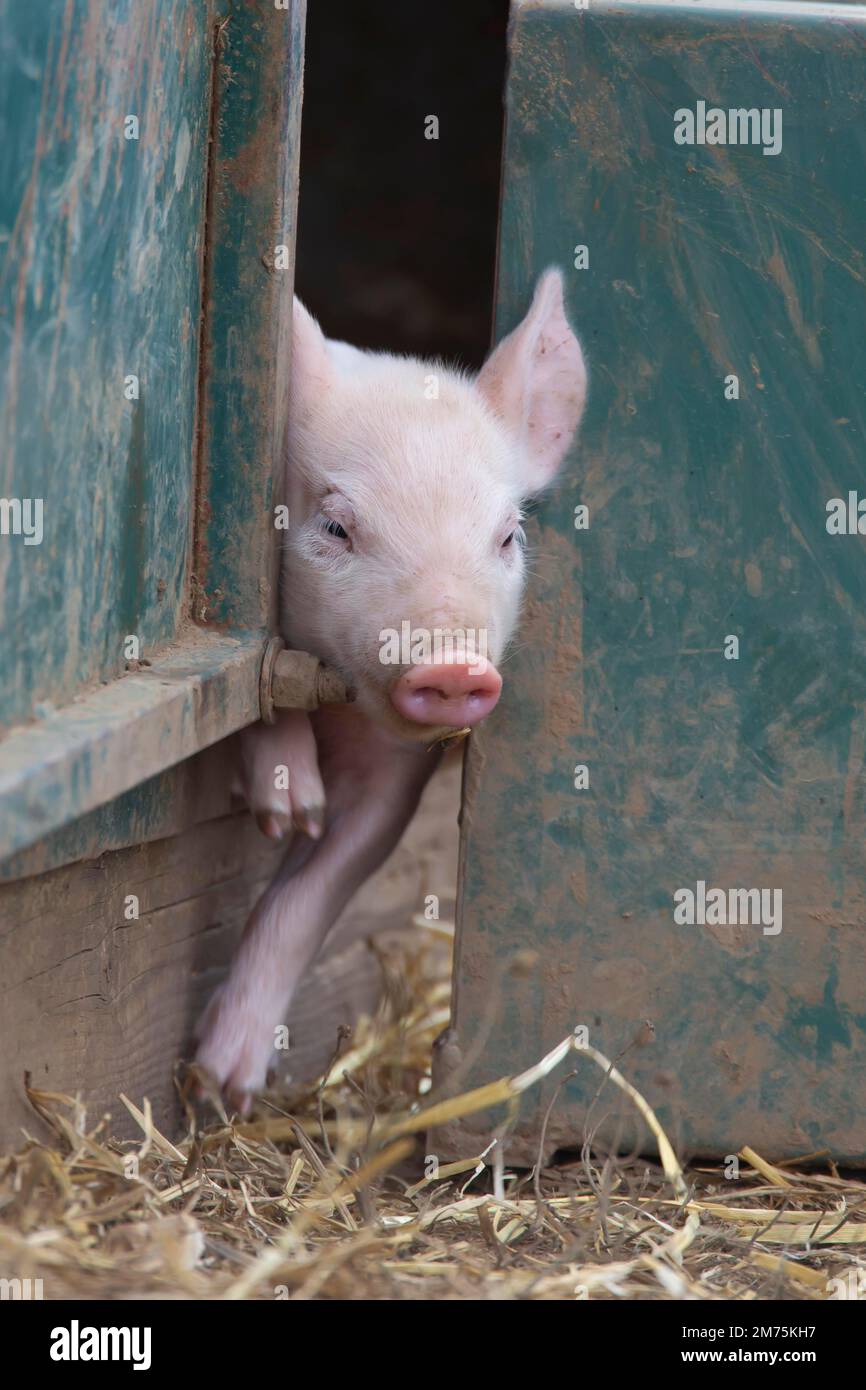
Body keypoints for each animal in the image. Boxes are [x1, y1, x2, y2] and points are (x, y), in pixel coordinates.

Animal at [194, 268, 587, 1112]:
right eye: (337, 528)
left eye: (509, 535)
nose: (453, 666)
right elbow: (250, 673)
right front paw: (288, 807)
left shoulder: (396, 779)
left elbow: (313, 893)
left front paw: (225, 1084)